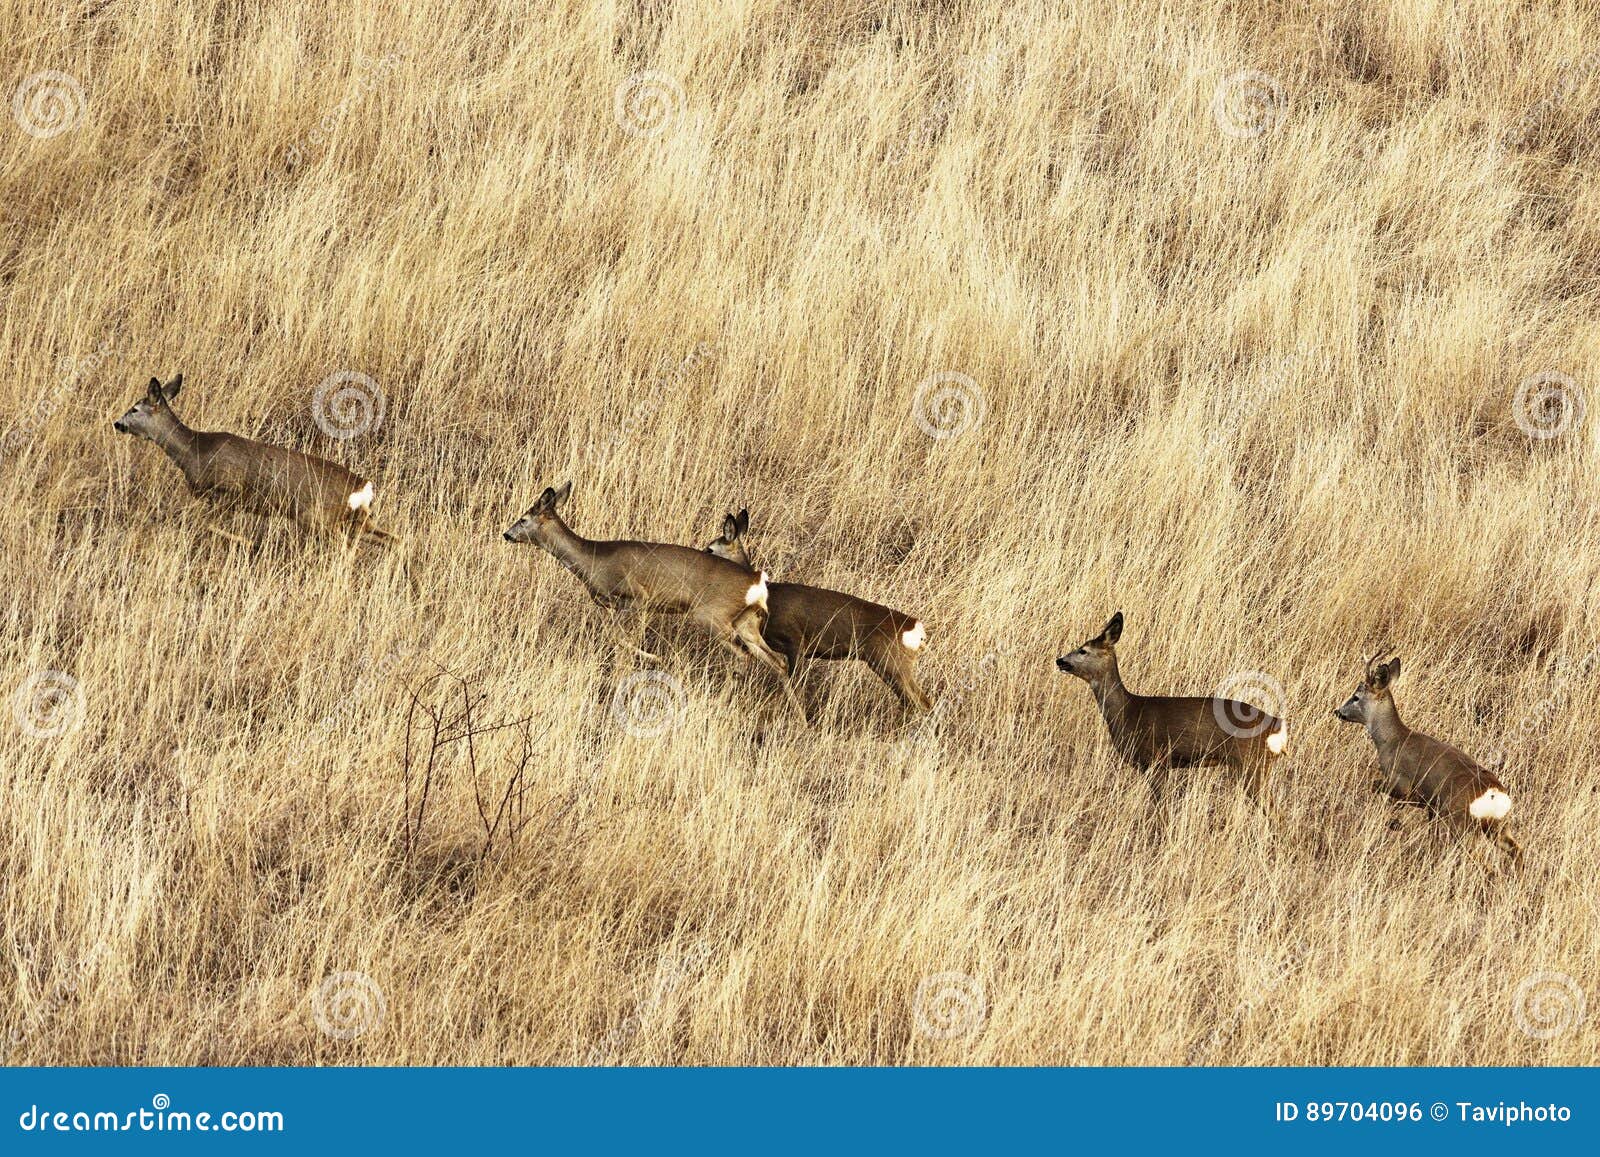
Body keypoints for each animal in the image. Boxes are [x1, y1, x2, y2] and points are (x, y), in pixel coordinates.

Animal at [112, 374, 396, 546]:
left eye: (134, 409)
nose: (117, 423)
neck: (192, 451)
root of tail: (363, 489)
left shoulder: (228, 492)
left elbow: (206, 524)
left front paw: (248, 543)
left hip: (318, 518)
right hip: (356, 521)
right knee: (395, 539)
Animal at [502, 484, 806, 721]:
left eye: (524, 519)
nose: (507, 534)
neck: (592, 560)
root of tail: (757, 581)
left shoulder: (639, 598)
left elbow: (623, 642)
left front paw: (646, 664)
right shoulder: (615, 607)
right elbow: (616, 639)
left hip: (710, 615)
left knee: (744, 656)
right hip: (746, 623)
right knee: (778, 661)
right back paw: (800, 719)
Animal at [703, 509, 933, 713]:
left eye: (710, 549)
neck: (767, 597)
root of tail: (917, 630)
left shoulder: (795, 641)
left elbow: (793, 685)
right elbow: (737, 672)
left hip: (891, 663)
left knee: (920, 703)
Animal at [1055, 612, 1286, 812]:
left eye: (1083, 650)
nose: (1060, 660)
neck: (1126, 712)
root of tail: (1276, 727)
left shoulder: (1156, 759)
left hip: (1251, 763)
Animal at [1334, 655, 1521, 863]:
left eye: (1356, 697)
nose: (1338, 711)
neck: (1391, 740)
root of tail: (1495, 794)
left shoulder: (1402, 786)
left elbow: (1375, 786)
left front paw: (1392, 822)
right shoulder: (1430, 807)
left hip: (1458, 821)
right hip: (1498, 827)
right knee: (1517, 850)